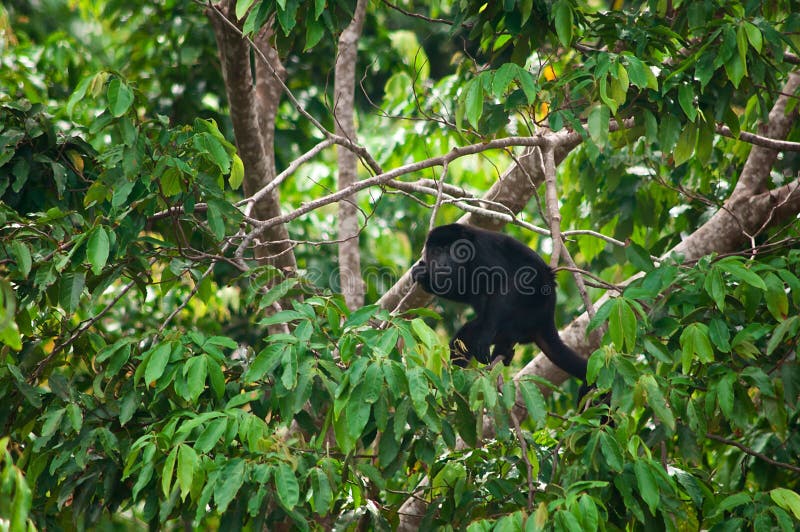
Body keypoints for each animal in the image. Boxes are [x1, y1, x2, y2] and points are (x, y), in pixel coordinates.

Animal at [411, 223, 587, 383]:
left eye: (450, 250)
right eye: (436, 251)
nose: (441, 263)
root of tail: (548, 313)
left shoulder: (483, 251)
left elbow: (503, 284)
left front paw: (484, 338)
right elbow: (464, 289)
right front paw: (424, 277)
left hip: (529, 312)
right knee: (465, 335)